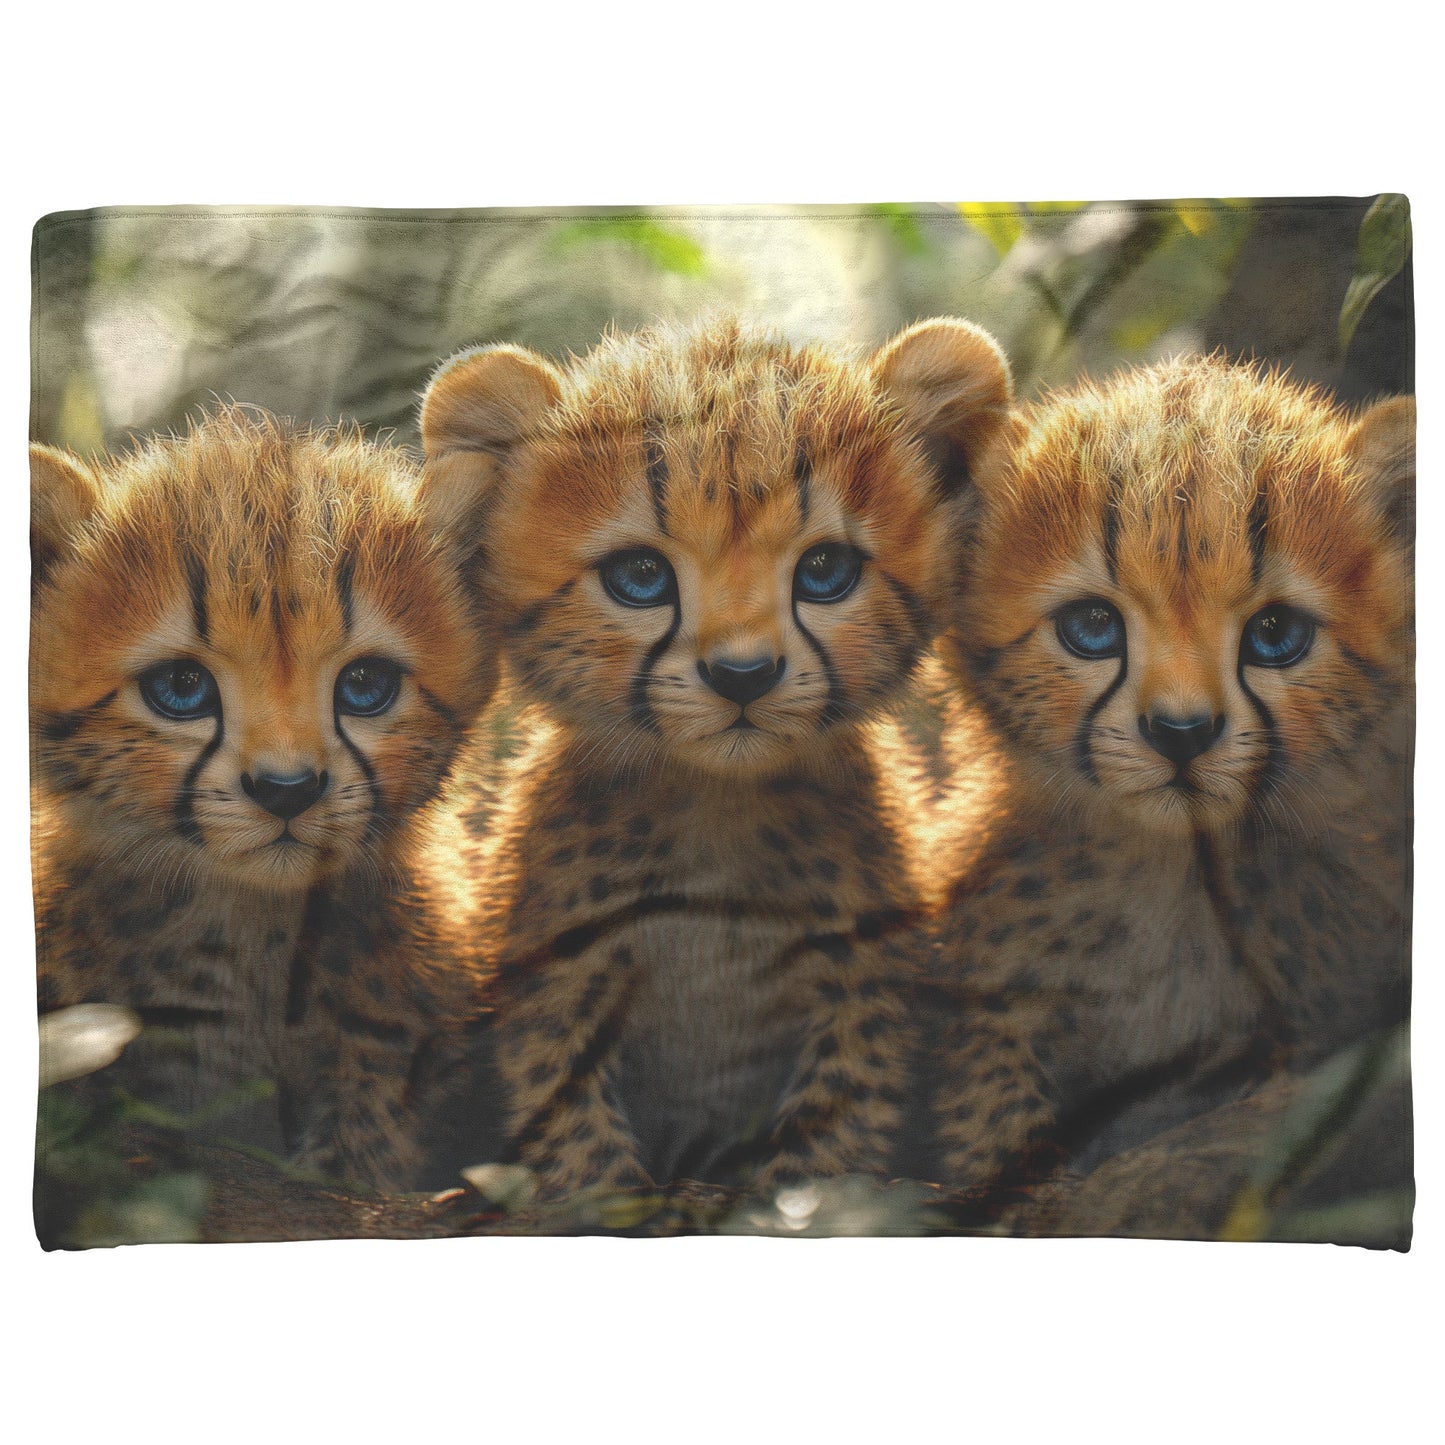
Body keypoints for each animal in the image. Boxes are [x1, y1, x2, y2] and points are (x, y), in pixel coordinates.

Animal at [420, 315, 1014, 1197]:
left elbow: (839, 1116)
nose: (742, 674)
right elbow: (573, 1120)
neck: (714, 809)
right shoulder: (557, 983)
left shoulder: (861, 990)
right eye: (638, 575)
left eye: (825, 570)